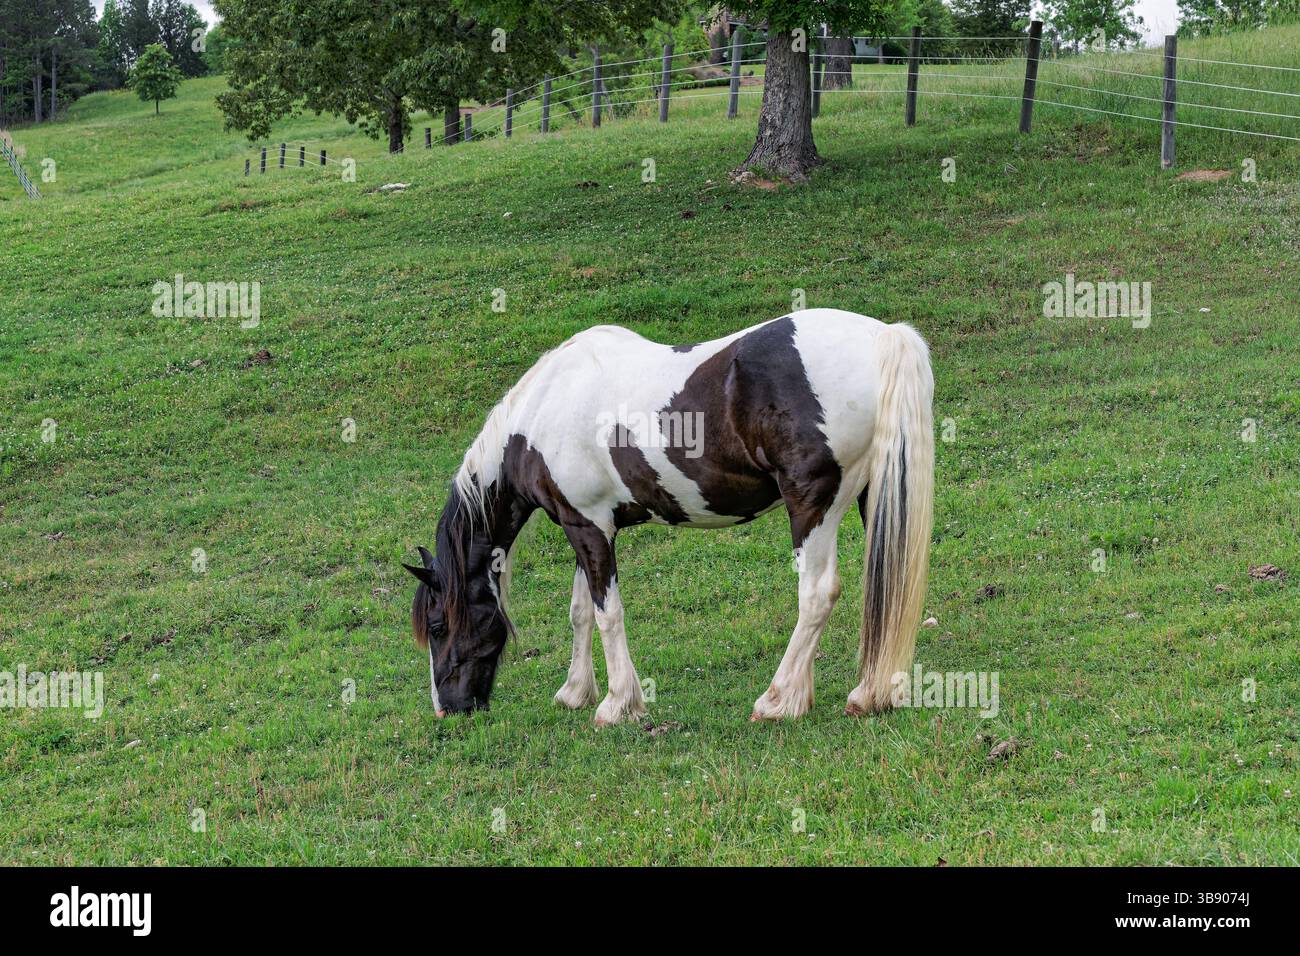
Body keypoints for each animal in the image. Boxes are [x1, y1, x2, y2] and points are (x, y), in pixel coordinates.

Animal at [403, 308, 934, 725]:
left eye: (437, 626)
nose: (446, 709)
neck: (544, 411)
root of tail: (884, 336)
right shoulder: (585, 527)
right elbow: (580, 611)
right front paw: (575, 692)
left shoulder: (589, 529)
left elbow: (608, 614)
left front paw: (618, 704)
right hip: (871, 498)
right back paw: (869, 694)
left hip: (812, 506)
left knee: (818, 594)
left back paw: (779, 700)